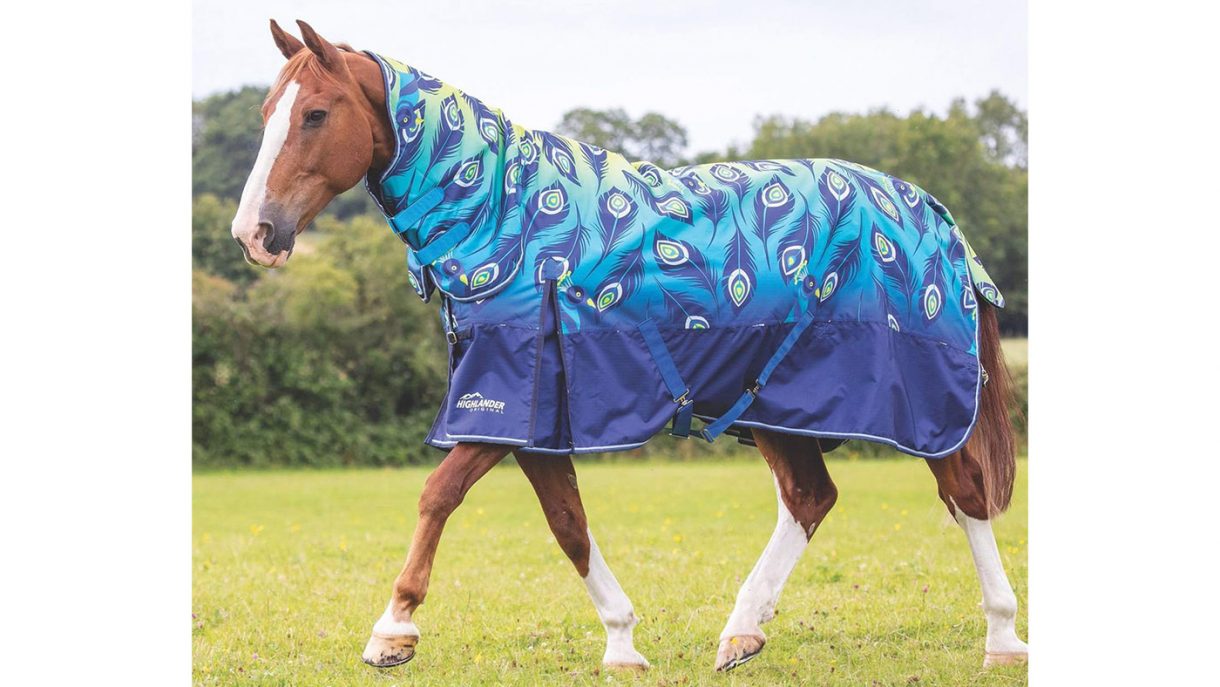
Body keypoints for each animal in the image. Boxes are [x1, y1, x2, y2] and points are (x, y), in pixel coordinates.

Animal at [230, 19, 1028, 673]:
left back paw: (1001, 637)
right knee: (810, 497)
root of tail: (933, 213)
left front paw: (392, 631)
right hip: (775, 405)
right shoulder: (533, 417)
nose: (254, 233)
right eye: (267, 114)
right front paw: (621, 641)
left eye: (315, 113)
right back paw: (742, 631)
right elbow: (568, 524)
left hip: (921, 406)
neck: (509, 226)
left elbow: (438, 495)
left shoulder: (499, 407)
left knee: (963, 495)